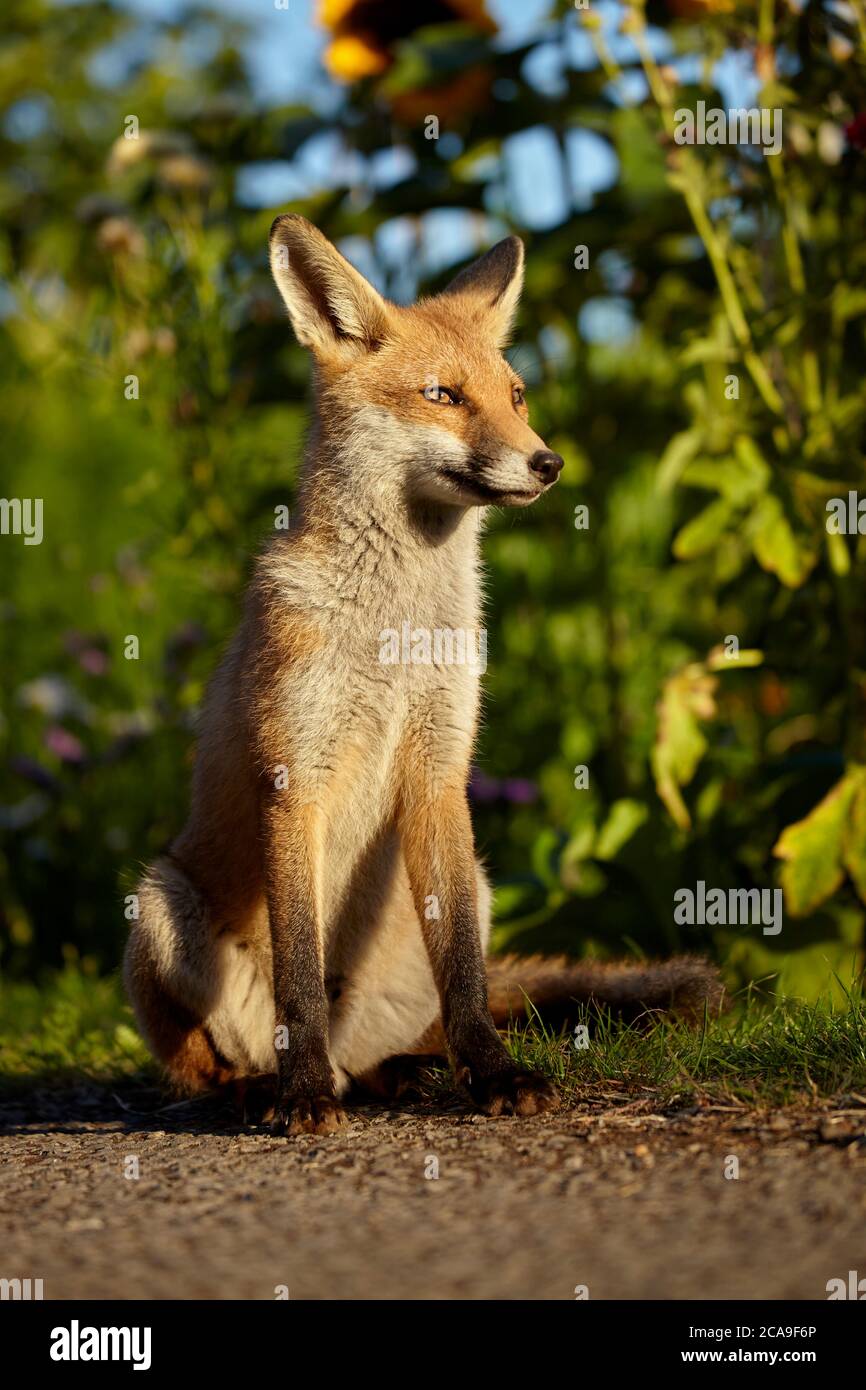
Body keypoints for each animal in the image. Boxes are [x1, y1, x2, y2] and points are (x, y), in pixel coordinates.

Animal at [124, 215, 723, 1135]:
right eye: (443, 395)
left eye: (516, 395)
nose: (548, 463)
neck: (397, 641)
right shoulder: (294, 780)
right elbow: (300, 972)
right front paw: (301, 1097)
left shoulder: (439, 770)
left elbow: (466, 975)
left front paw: (496, 1073)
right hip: (159, 907)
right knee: (209, 1067)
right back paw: (272, 1086)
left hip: (473, 887)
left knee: (400, 1036)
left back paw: (400, 1072)